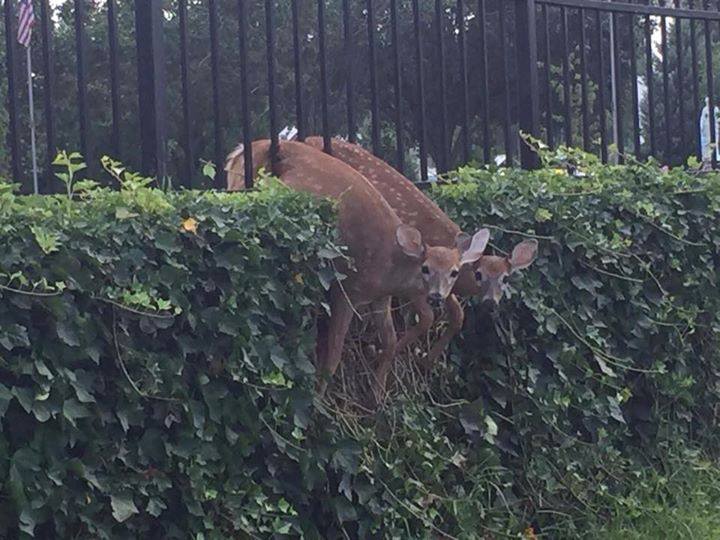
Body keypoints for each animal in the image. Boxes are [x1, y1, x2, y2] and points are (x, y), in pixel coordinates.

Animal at [225, 139, 490, 400]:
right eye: (425, 269)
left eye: (454, 272)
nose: (436, 295)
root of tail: (238, 152)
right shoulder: (348, 291)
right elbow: (334, 355)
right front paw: (319, 402)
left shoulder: (381, 298)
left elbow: (396, 337)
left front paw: (378, 396)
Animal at [302, 136, 538, 368]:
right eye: (479, 274)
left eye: (506, 278)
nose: (490, 303)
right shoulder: (416, 275)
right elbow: (427, 316)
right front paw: (384, 353)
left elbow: (457, 314)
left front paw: (426, 358)